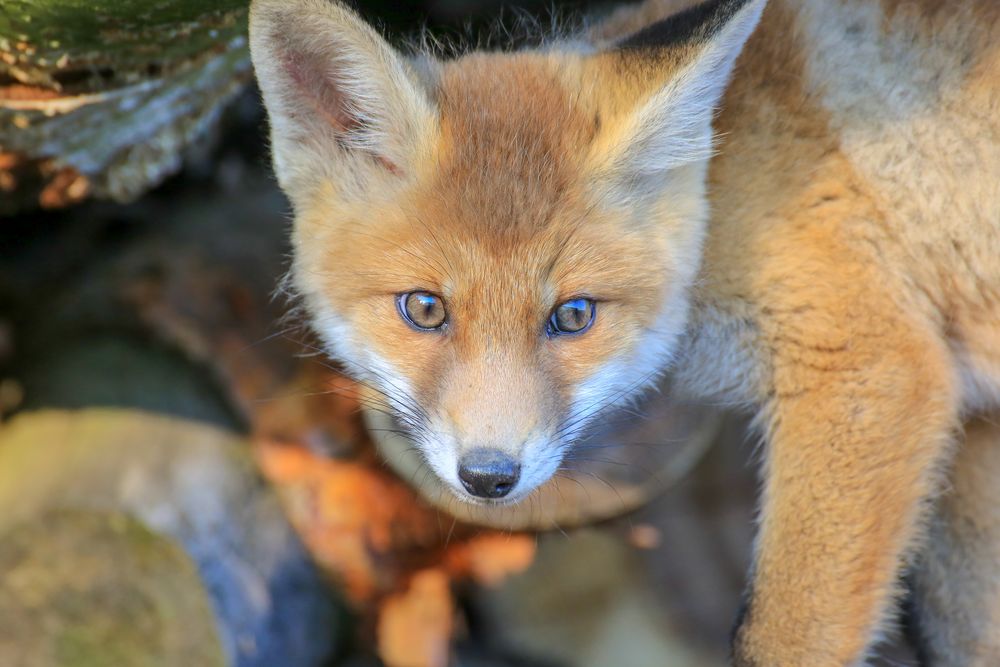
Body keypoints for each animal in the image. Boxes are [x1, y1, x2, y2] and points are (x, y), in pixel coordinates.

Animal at [247, 0, 1000, 664]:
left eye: (574, 315)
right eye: (425, 309)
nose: (489, 477)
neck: (716, 199)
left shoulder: (868, 363)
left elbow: (776, 638)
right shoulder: (970, 427)